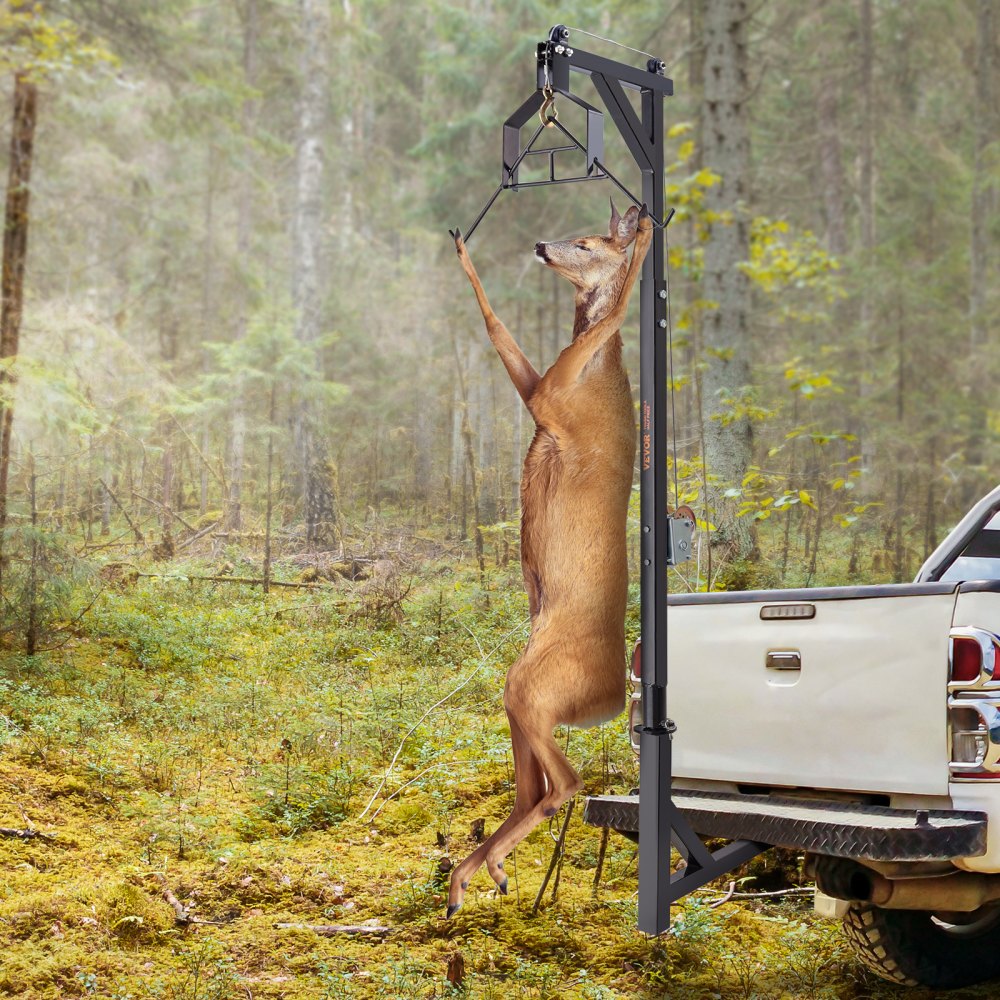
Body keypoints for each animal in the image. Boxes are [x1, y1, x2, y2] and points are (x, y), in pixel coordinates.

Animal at [447, 200, 653, 916]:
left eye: (588, 242)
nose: (541, 244)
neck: (602, 374)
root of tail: (613, 697)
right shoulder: (544, 394)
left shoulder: (549, 398)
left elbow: (498, 323)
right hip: (524, 692)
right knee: (532, 789)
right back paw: (474, 876)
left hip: (534, 686)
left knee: (564, 783)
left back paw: (479, 872)